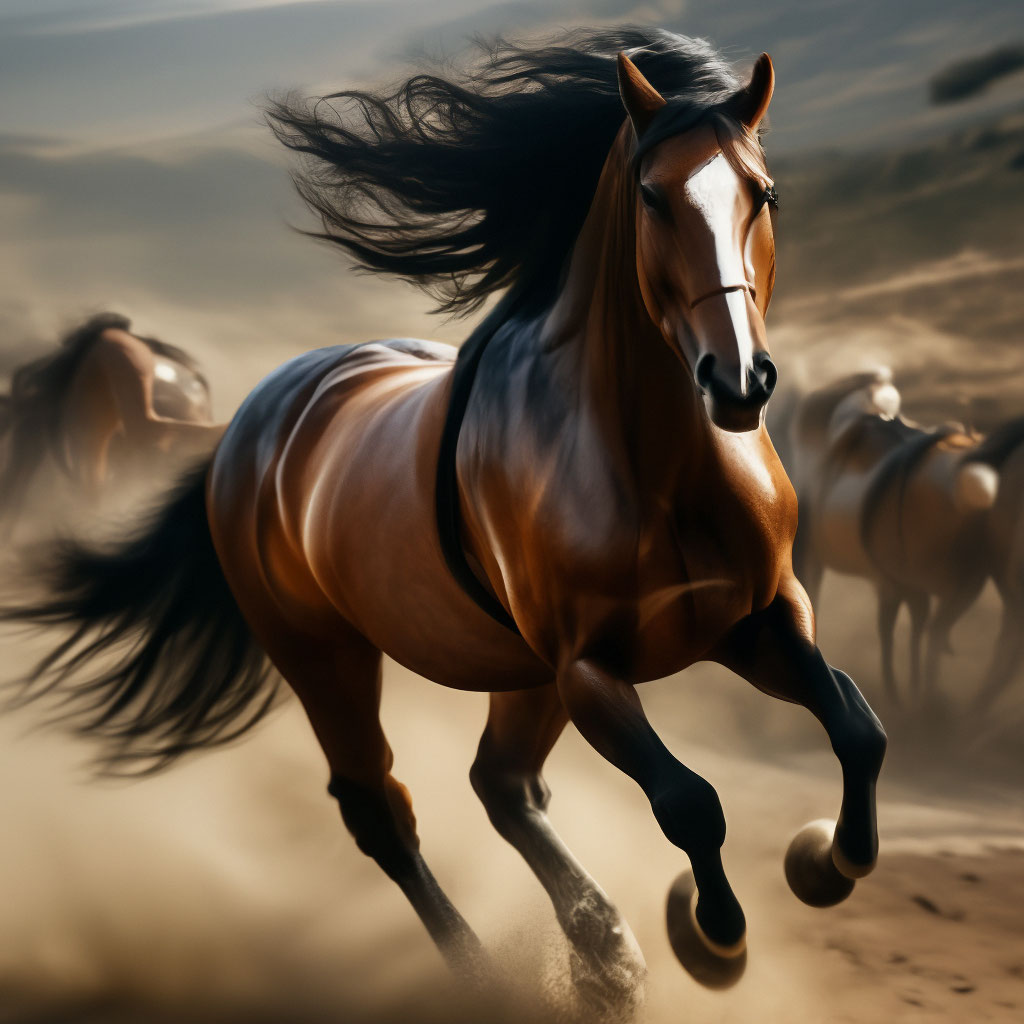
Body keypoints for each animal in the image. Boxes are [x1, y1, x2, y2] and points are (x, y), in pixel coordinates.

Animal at [788, 369, 999, 706]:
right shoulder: (898, 586)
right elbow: (903, 636)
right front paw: (905, 697)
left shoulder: (957, 591)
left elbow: (925, 637)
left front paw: (922, 694)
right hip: (817, 556)